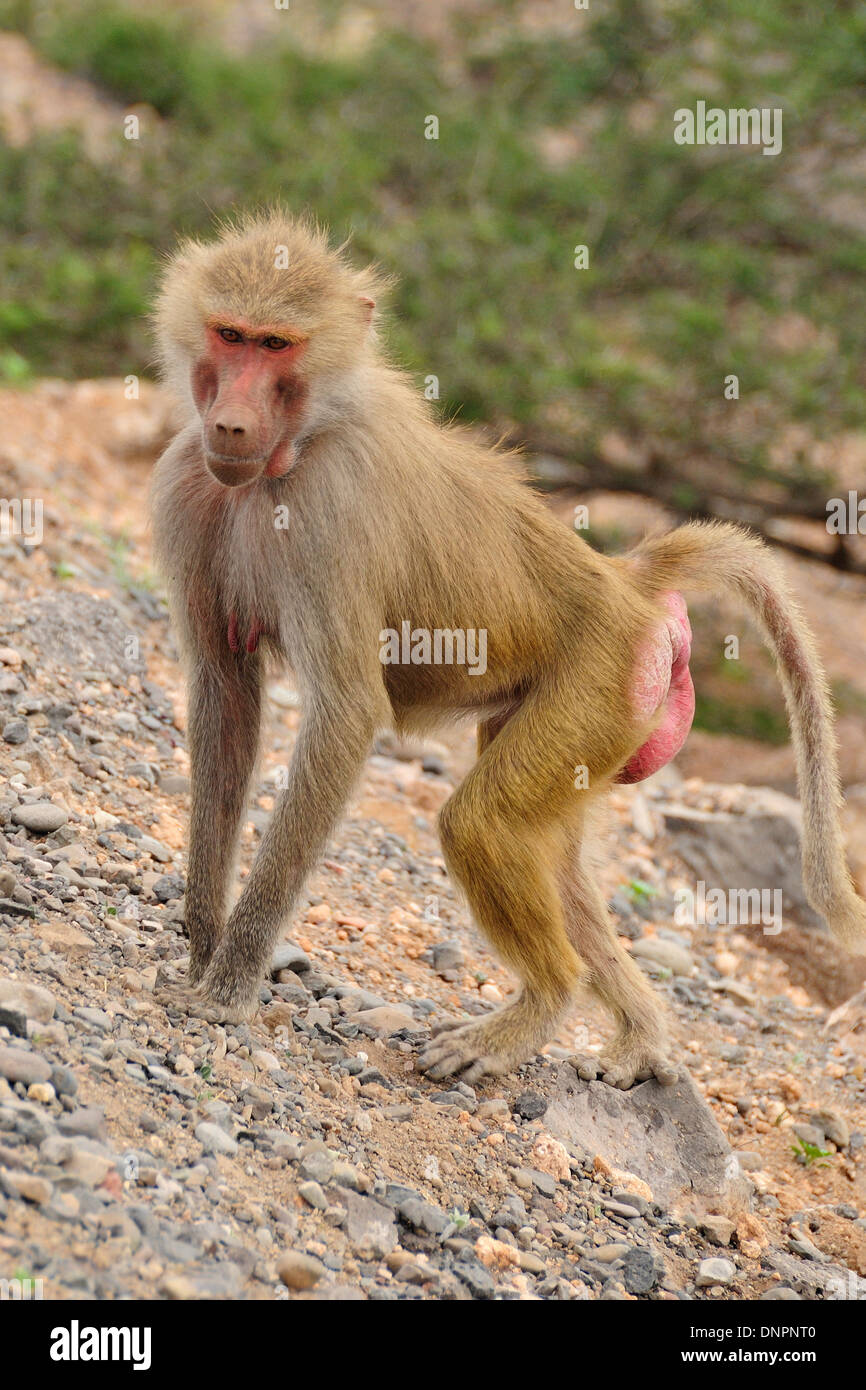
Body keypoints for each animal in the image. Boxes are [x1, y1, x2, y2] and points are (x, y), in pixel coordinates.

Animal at [150, 209, 866, 1089]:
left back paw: (533, 1013)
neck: (297, 446)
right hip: (606, 712)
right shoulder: (189, 482)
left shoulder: (329, 510)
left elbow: (347, 714)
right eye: (231, 335)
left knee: (482, 825)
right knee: (549, 853)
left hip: (601, 677)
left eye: (277, 345)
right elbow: (224, 700)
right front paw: (201, 947)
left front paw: (228, 988)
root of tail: (624, 578)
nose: (231, 423)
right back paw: (640, 1037)